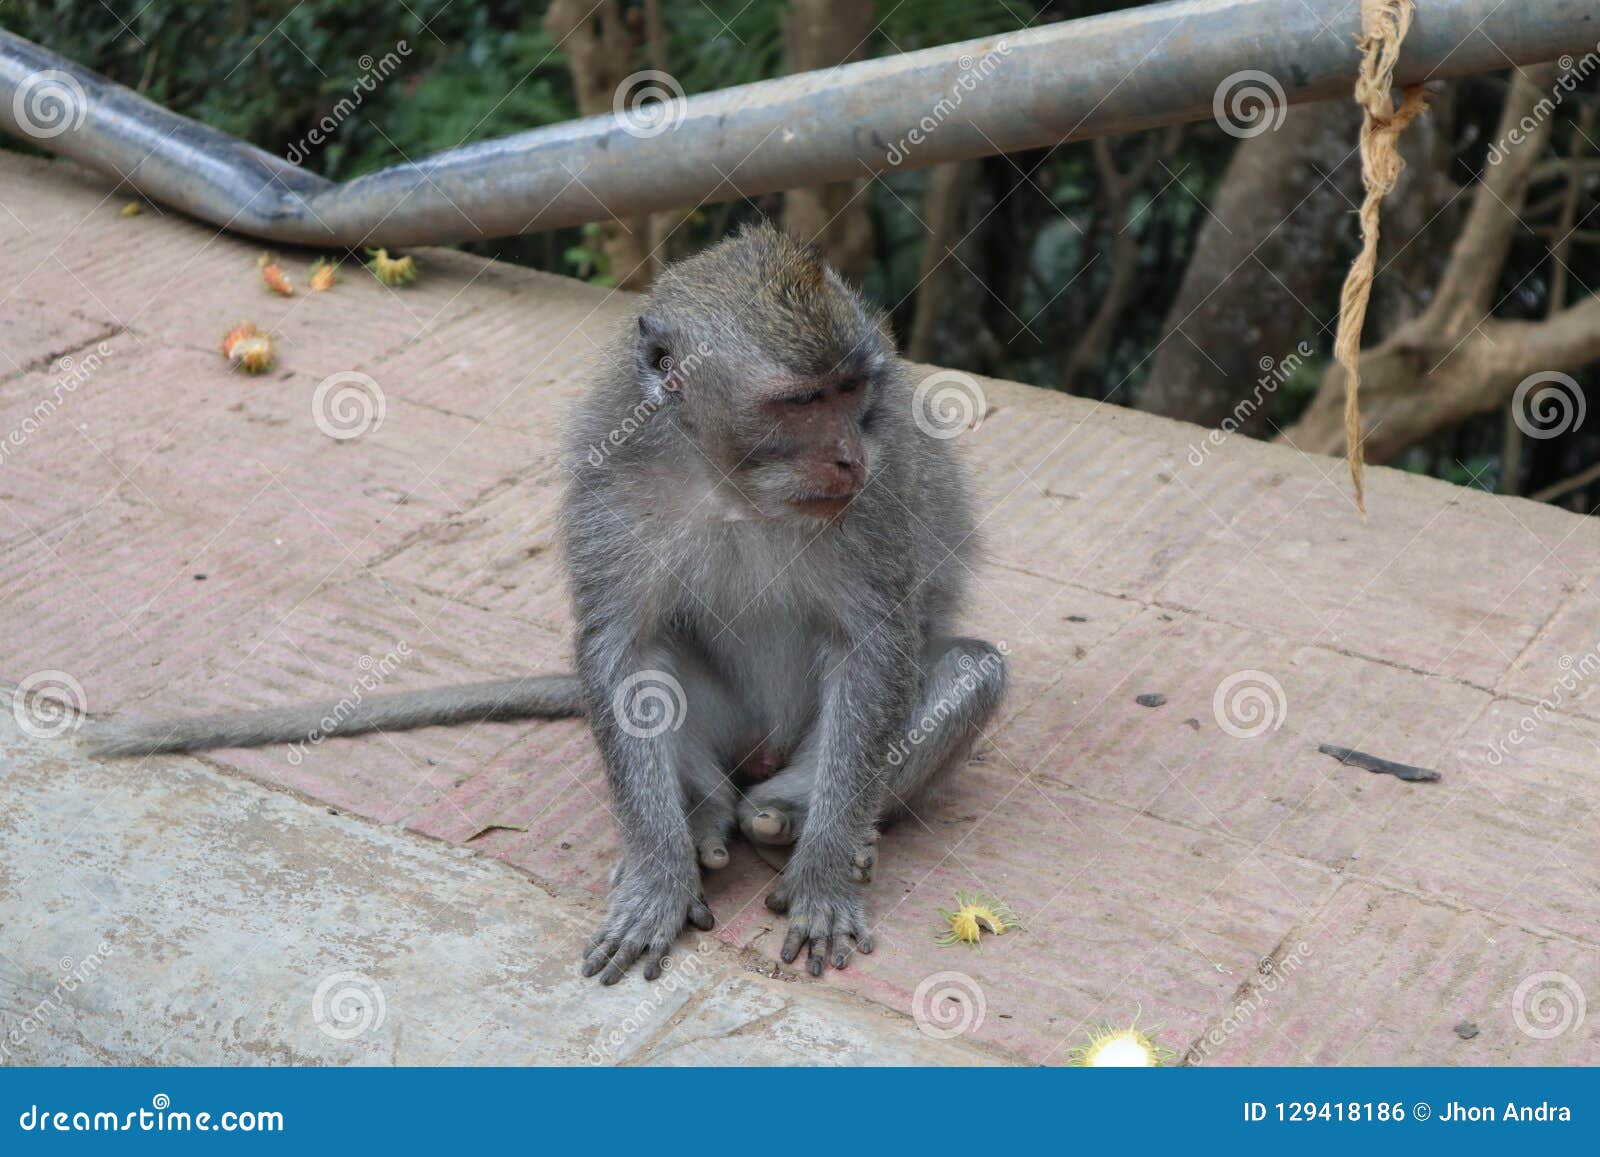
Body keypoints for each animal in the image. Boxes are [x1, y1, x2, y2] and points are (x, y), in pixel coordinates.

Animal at [83, 221, 1009, 983]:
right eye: (802, 399)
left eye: (852, 391)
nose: (850, 457)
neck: (732, 485)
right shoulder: (609, 476)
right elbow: (621, 651)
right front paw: (659, 874)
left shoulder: (876, 500)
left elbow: (874, 643)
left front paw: (821, 872)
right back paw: (701, 812)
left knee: (970, 669)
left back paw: (796, 816)